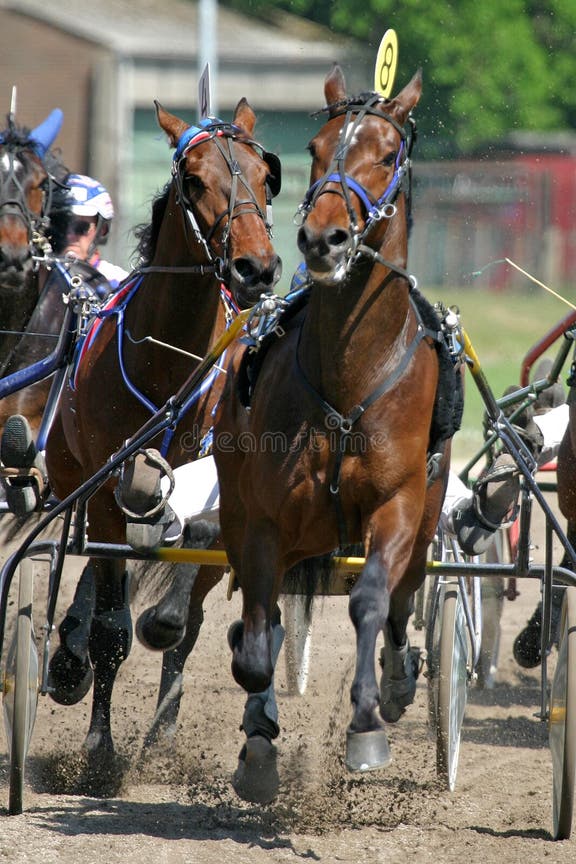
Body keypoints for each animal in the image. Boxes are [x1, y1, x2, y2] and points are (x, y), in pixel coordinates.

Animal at [43, 97, 282, 759]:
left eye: (265, 176)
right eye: (194, 180)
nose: (255, 267)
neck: (169, 358)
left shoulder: (219, 482)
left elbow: (184, 607)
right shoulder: (104, 489)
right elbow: (108, 624)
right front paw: (100, 747)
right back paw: (70, 660)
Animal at [213, 65, 456, 801]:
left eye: (386, 153)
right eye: (315, 150)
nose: (324, 239)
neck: (350, 375)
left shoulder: (400, 502)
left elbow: (373, 598)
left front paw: (369, 721)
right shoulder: (263, 519)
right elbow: (256, 640)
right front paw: (258, 739)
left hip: (427, 513)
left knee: (403, 597)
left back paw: (400, 682)